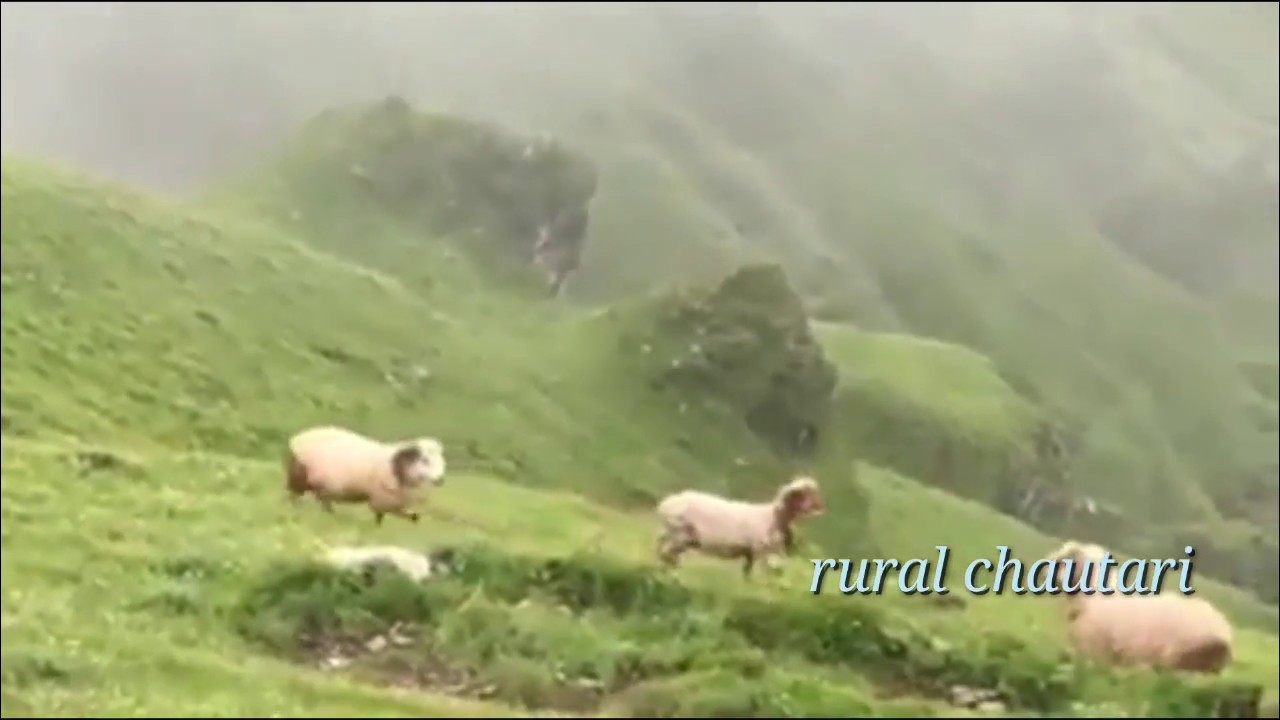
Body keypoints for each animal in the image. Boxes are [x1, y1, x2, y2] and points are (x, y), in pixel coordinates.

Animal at [285, 425, 446, 526]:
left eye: (441, 459)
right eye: (425, 460)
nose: (440, 479)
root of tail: (296, 439)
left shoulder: (392, 501)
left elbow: (410, 515)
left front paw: (413, 517)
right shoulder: (382, 499)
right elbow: (379, 518)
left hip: (321, 486)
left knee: (323, 502)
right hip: (299, 478)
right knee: (294, 499)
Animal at [654, 475, 826, 578]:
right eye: (802, 495)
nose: (819, 508)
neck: (773, 517)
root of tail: (666, 503)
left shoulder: (751, 553)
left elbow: (747, 574)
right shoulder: (758, 551)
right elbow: (755, 573)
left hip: (681, 537)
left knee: (662, 549)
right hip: (680, 534)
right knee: (666, 553)